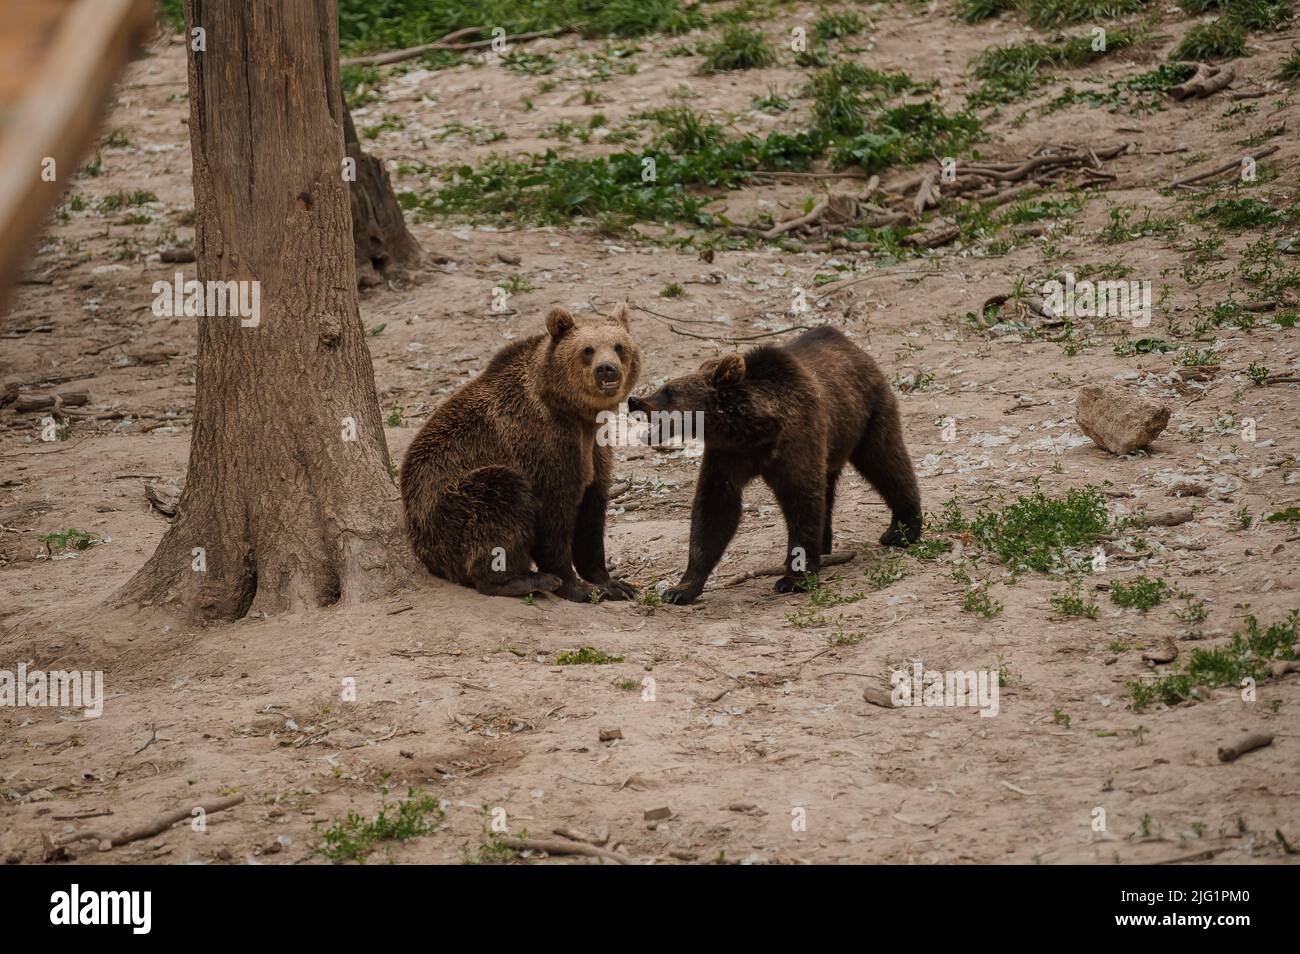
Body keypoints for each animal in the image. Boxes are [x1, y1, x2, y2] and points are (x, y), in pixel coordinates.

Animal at [400, 304, 640, 603]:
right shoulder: (545, 443)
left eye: (619, 346)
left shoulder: (594, 449)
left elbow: (592, 513)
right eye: (588, 349)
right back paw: (524, 579)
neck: (575, 413)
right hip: (444, 509)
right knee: (500, 495)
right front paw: (576, 586)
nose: (607, 369)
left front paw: (614, 583)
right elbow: (553, 516)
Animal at [627, 326, 920, 605]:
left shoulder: (795, 442)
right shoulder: (727, 455)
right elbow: (714, 510)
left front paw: (794, 578)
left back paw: (902, 529)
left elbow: (802, 500)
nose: (633, 400)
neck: (750, 430)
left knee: (886, 462)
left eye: (669, 390)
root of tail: (851, 345)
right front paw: (682, 588)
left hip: (867, 413)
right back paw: (825, 545)